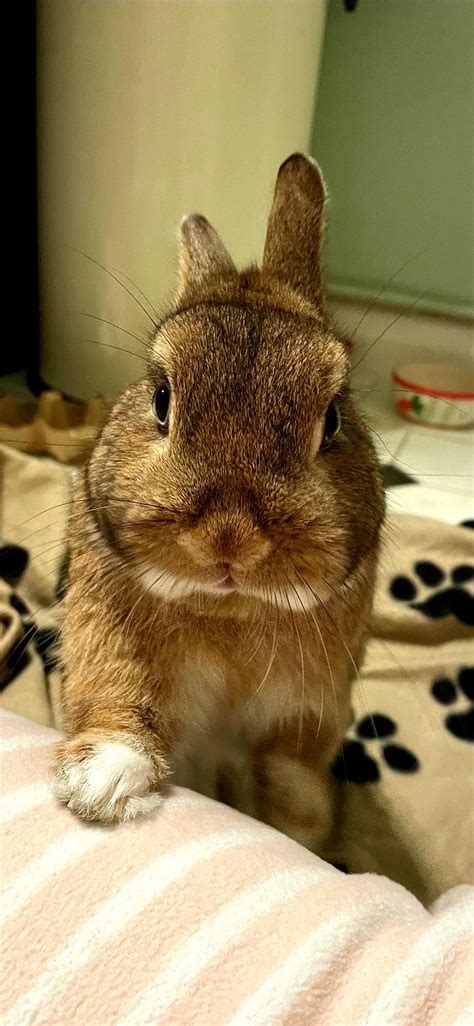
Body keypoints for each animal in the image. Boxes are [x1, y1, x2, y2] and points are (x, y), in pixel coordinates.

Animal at [54, 153, 384, 853]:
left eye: (333, 419)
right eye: (160, 398)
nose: (229, 538)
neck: (230, 607)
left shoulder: (310, 706)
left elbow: (293, 771)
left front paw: (298, 823)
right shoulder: (108, 636)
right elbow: (116, 696)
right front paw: (102, 787)